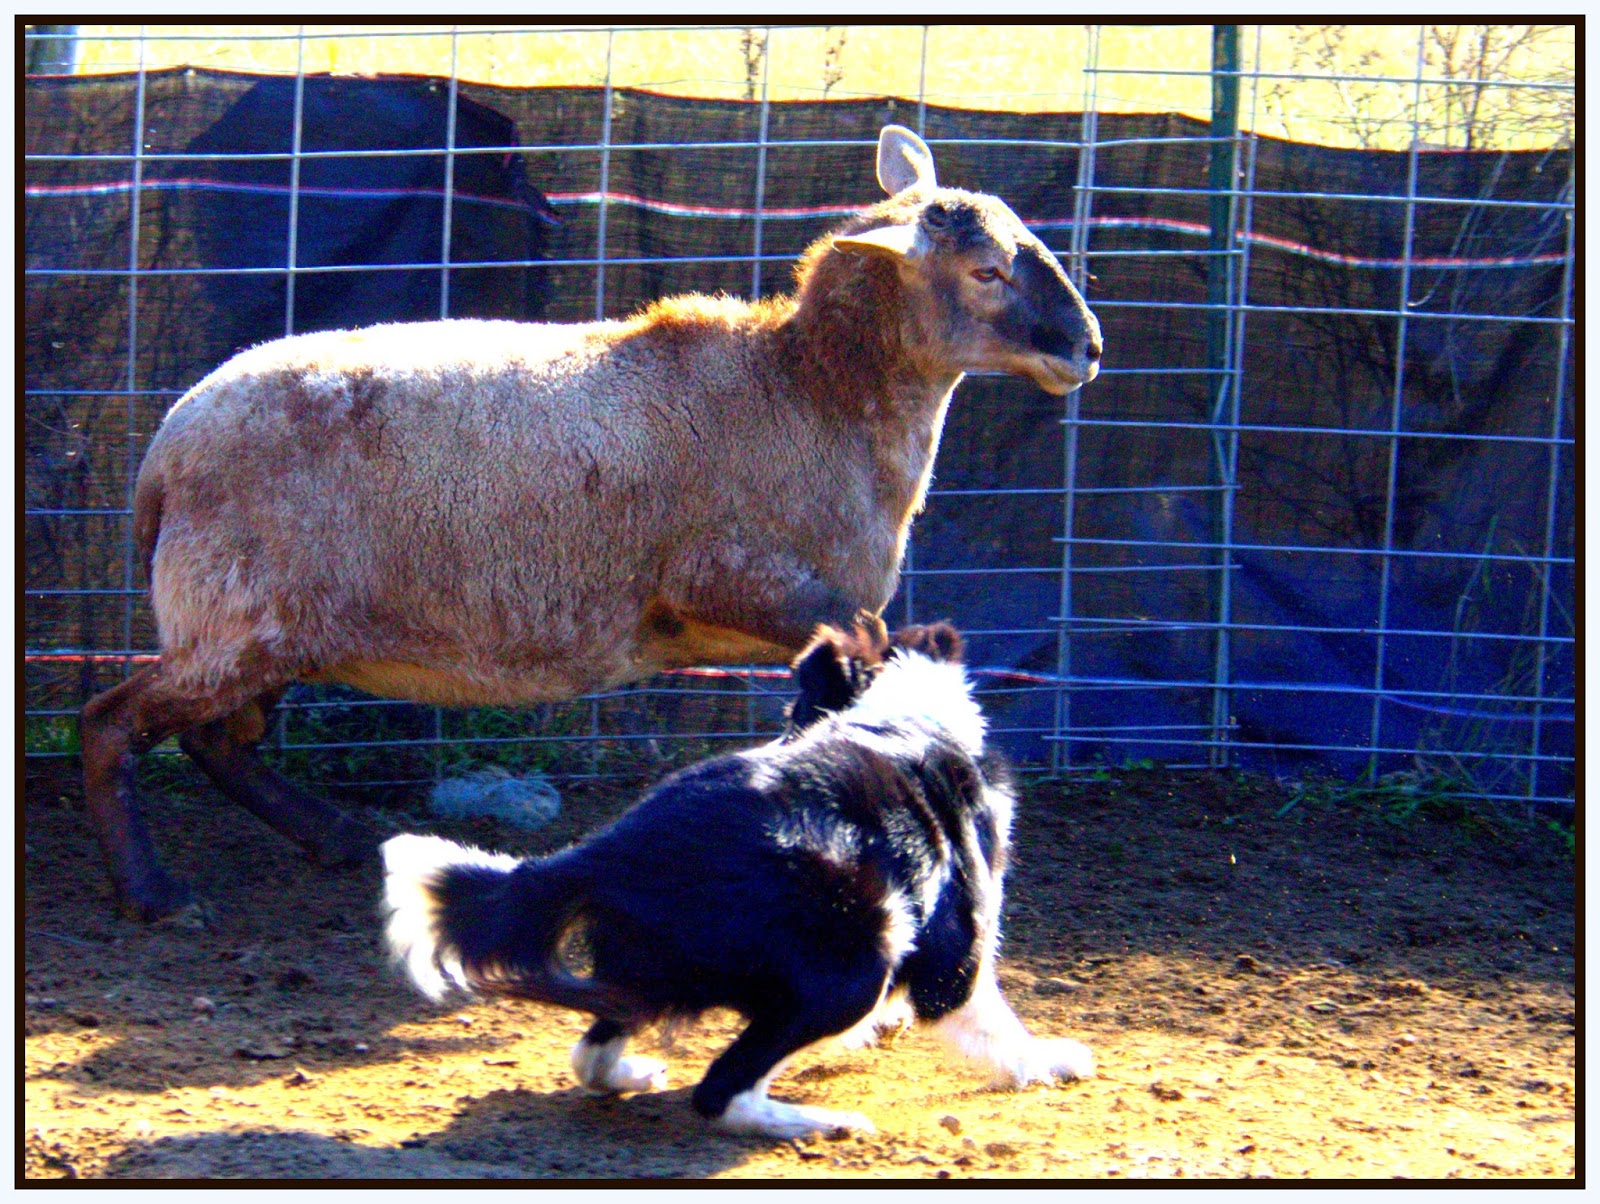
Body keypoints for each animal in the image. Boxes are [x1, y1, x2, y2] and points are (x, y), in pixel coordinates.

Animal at [78, 124, 1103, 922]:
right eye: (987, 269)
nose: (1088, 348)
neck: (811, 390)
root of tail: (164, 451)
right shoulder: (736, 577)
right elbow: (867, 665)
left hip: (273, 628)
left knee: (218, 740)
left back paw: (336, 837)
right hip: (235, 619)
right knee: (115, 721)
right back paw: (155, 896)